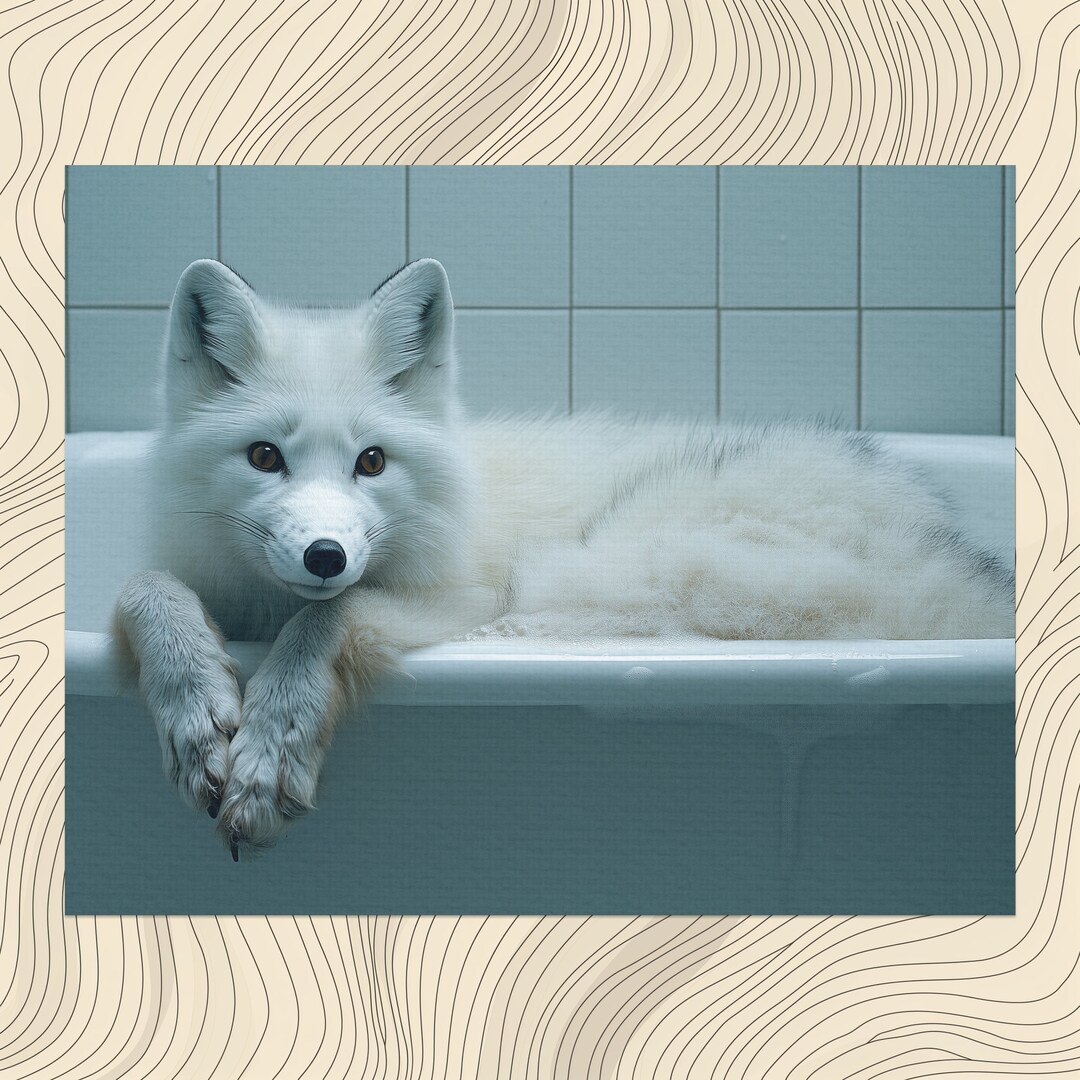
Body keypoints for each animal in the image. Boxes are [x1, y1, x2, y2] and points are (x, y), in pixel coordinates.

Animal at [112, 258, 1015, 859]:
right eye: (265, 457)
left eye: (371, 462)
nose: (326, 555)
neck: (263, 606)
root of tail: (946, 537)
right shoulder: (192, 574)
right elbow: (144, 587)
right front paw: (195, 713)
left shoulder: (450, 594)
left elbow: (326, 623)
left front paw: (269, 751)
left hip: (636, 551)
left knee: (658, 623)